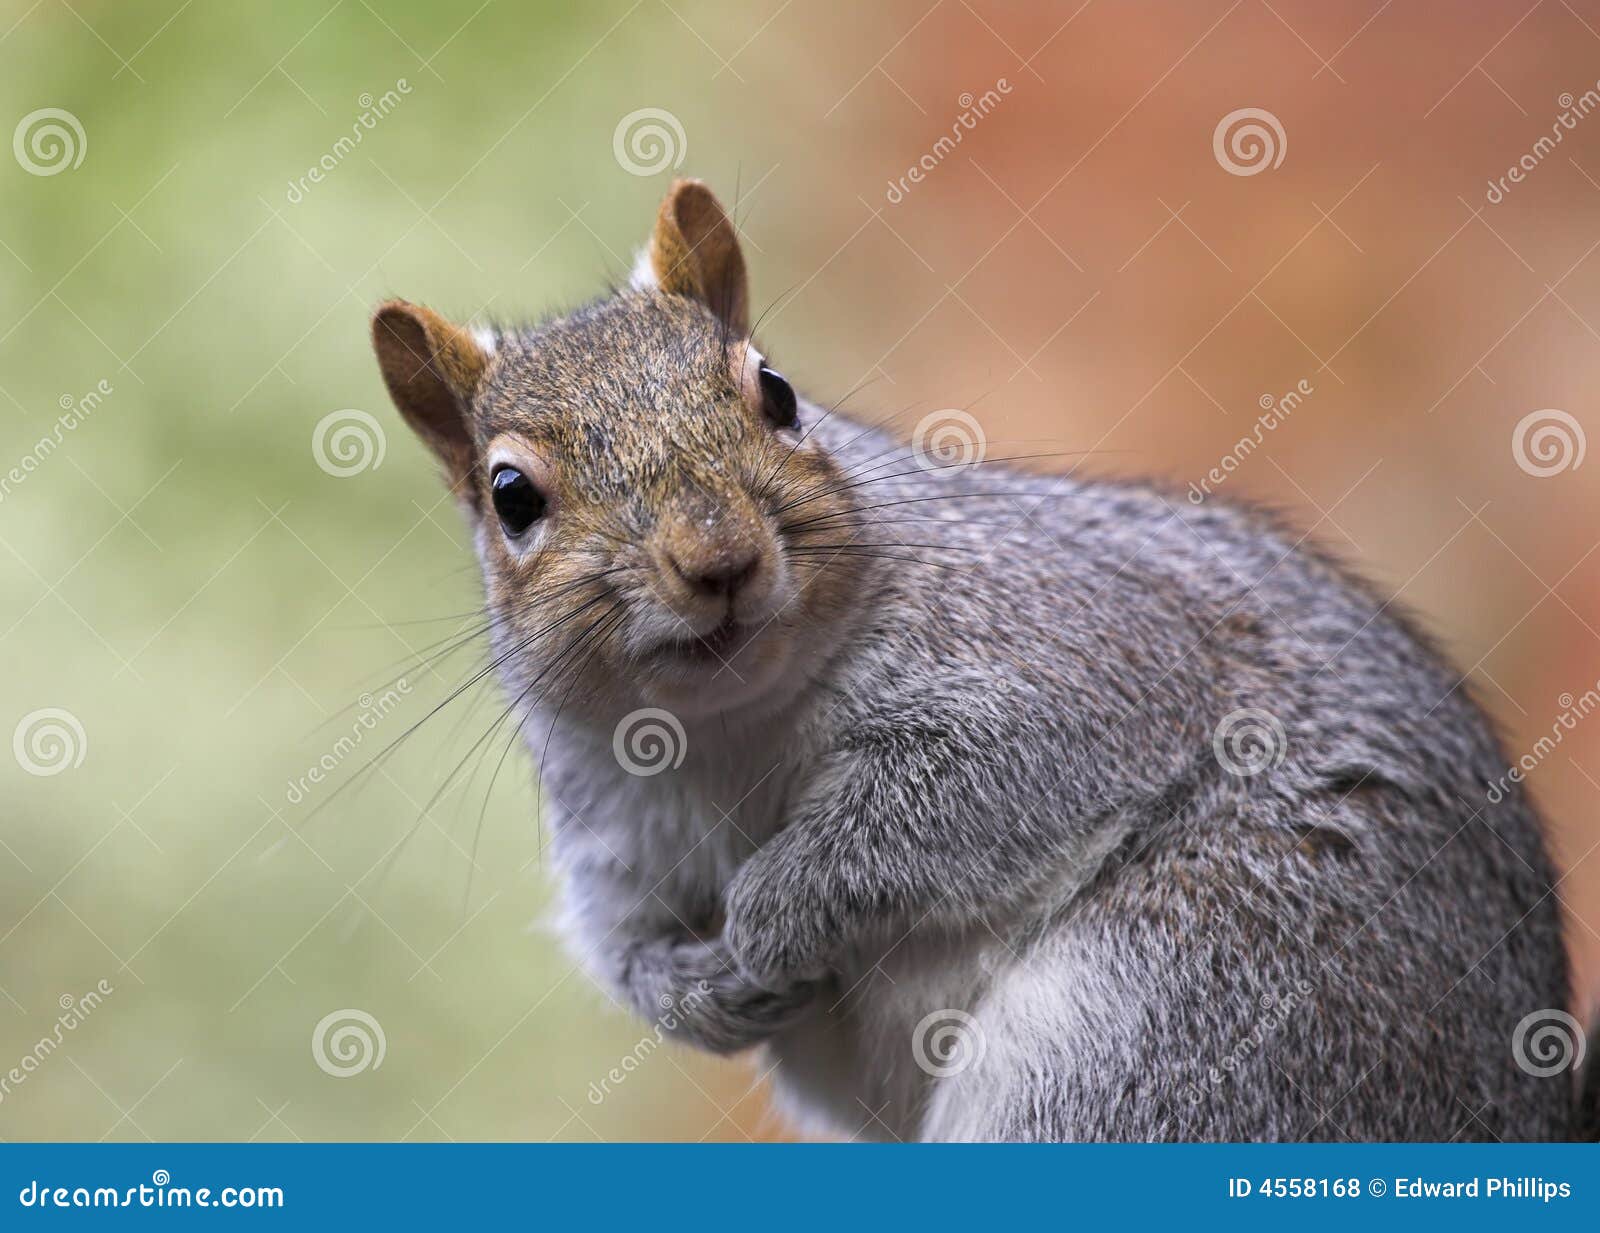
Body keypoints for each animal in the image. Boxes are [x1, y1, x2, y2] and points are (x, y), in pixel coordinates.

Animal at [371, 179, 1598, 1142]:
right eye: (510, 496)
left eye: (774, 391)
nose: (716, 559)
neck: (732, 723)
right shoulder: (613, 834)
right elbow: (619, 949)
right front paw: (698, 990)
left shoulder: (1070, 658)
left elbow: (959, 794)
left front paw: (768, 915)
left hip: (1180, 1009)